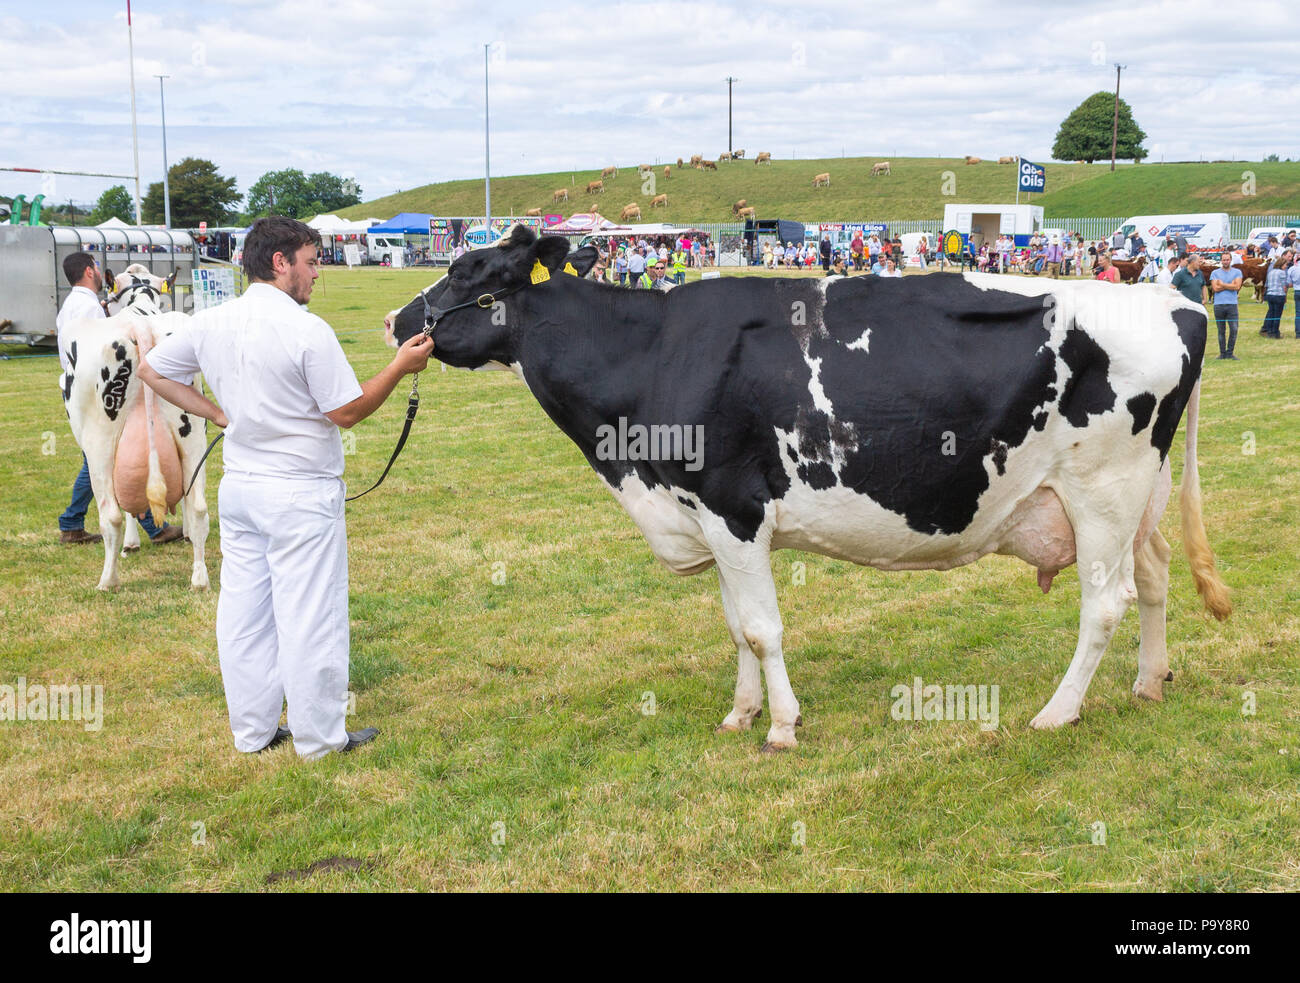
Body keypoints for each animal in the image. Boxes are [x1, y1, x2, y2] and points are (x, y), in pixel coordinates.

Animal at [59, 265, 210, 592]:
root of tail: (138, 326)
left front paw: (130, 544)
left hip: (100, 444)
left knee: (110, 516)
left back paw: (107, 580)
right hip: (193, 434)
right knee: (198, 506)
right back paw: (199, 577)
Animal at [390, 226, 1230, 750]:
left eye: (467, 272)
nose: (398, 322)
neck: (652, 353)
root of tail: (1173, 299)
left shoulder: (732, 507)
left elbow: (762, 628)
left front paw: (782, 725)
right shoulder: (708, 516)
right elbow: (735, 626)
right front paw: (740, 712)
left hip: (1101, 491)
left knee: (1106, 603)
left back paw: (1057, 712)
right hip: (1138, 499)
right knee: (1155, 575)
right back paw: (1149, 682)